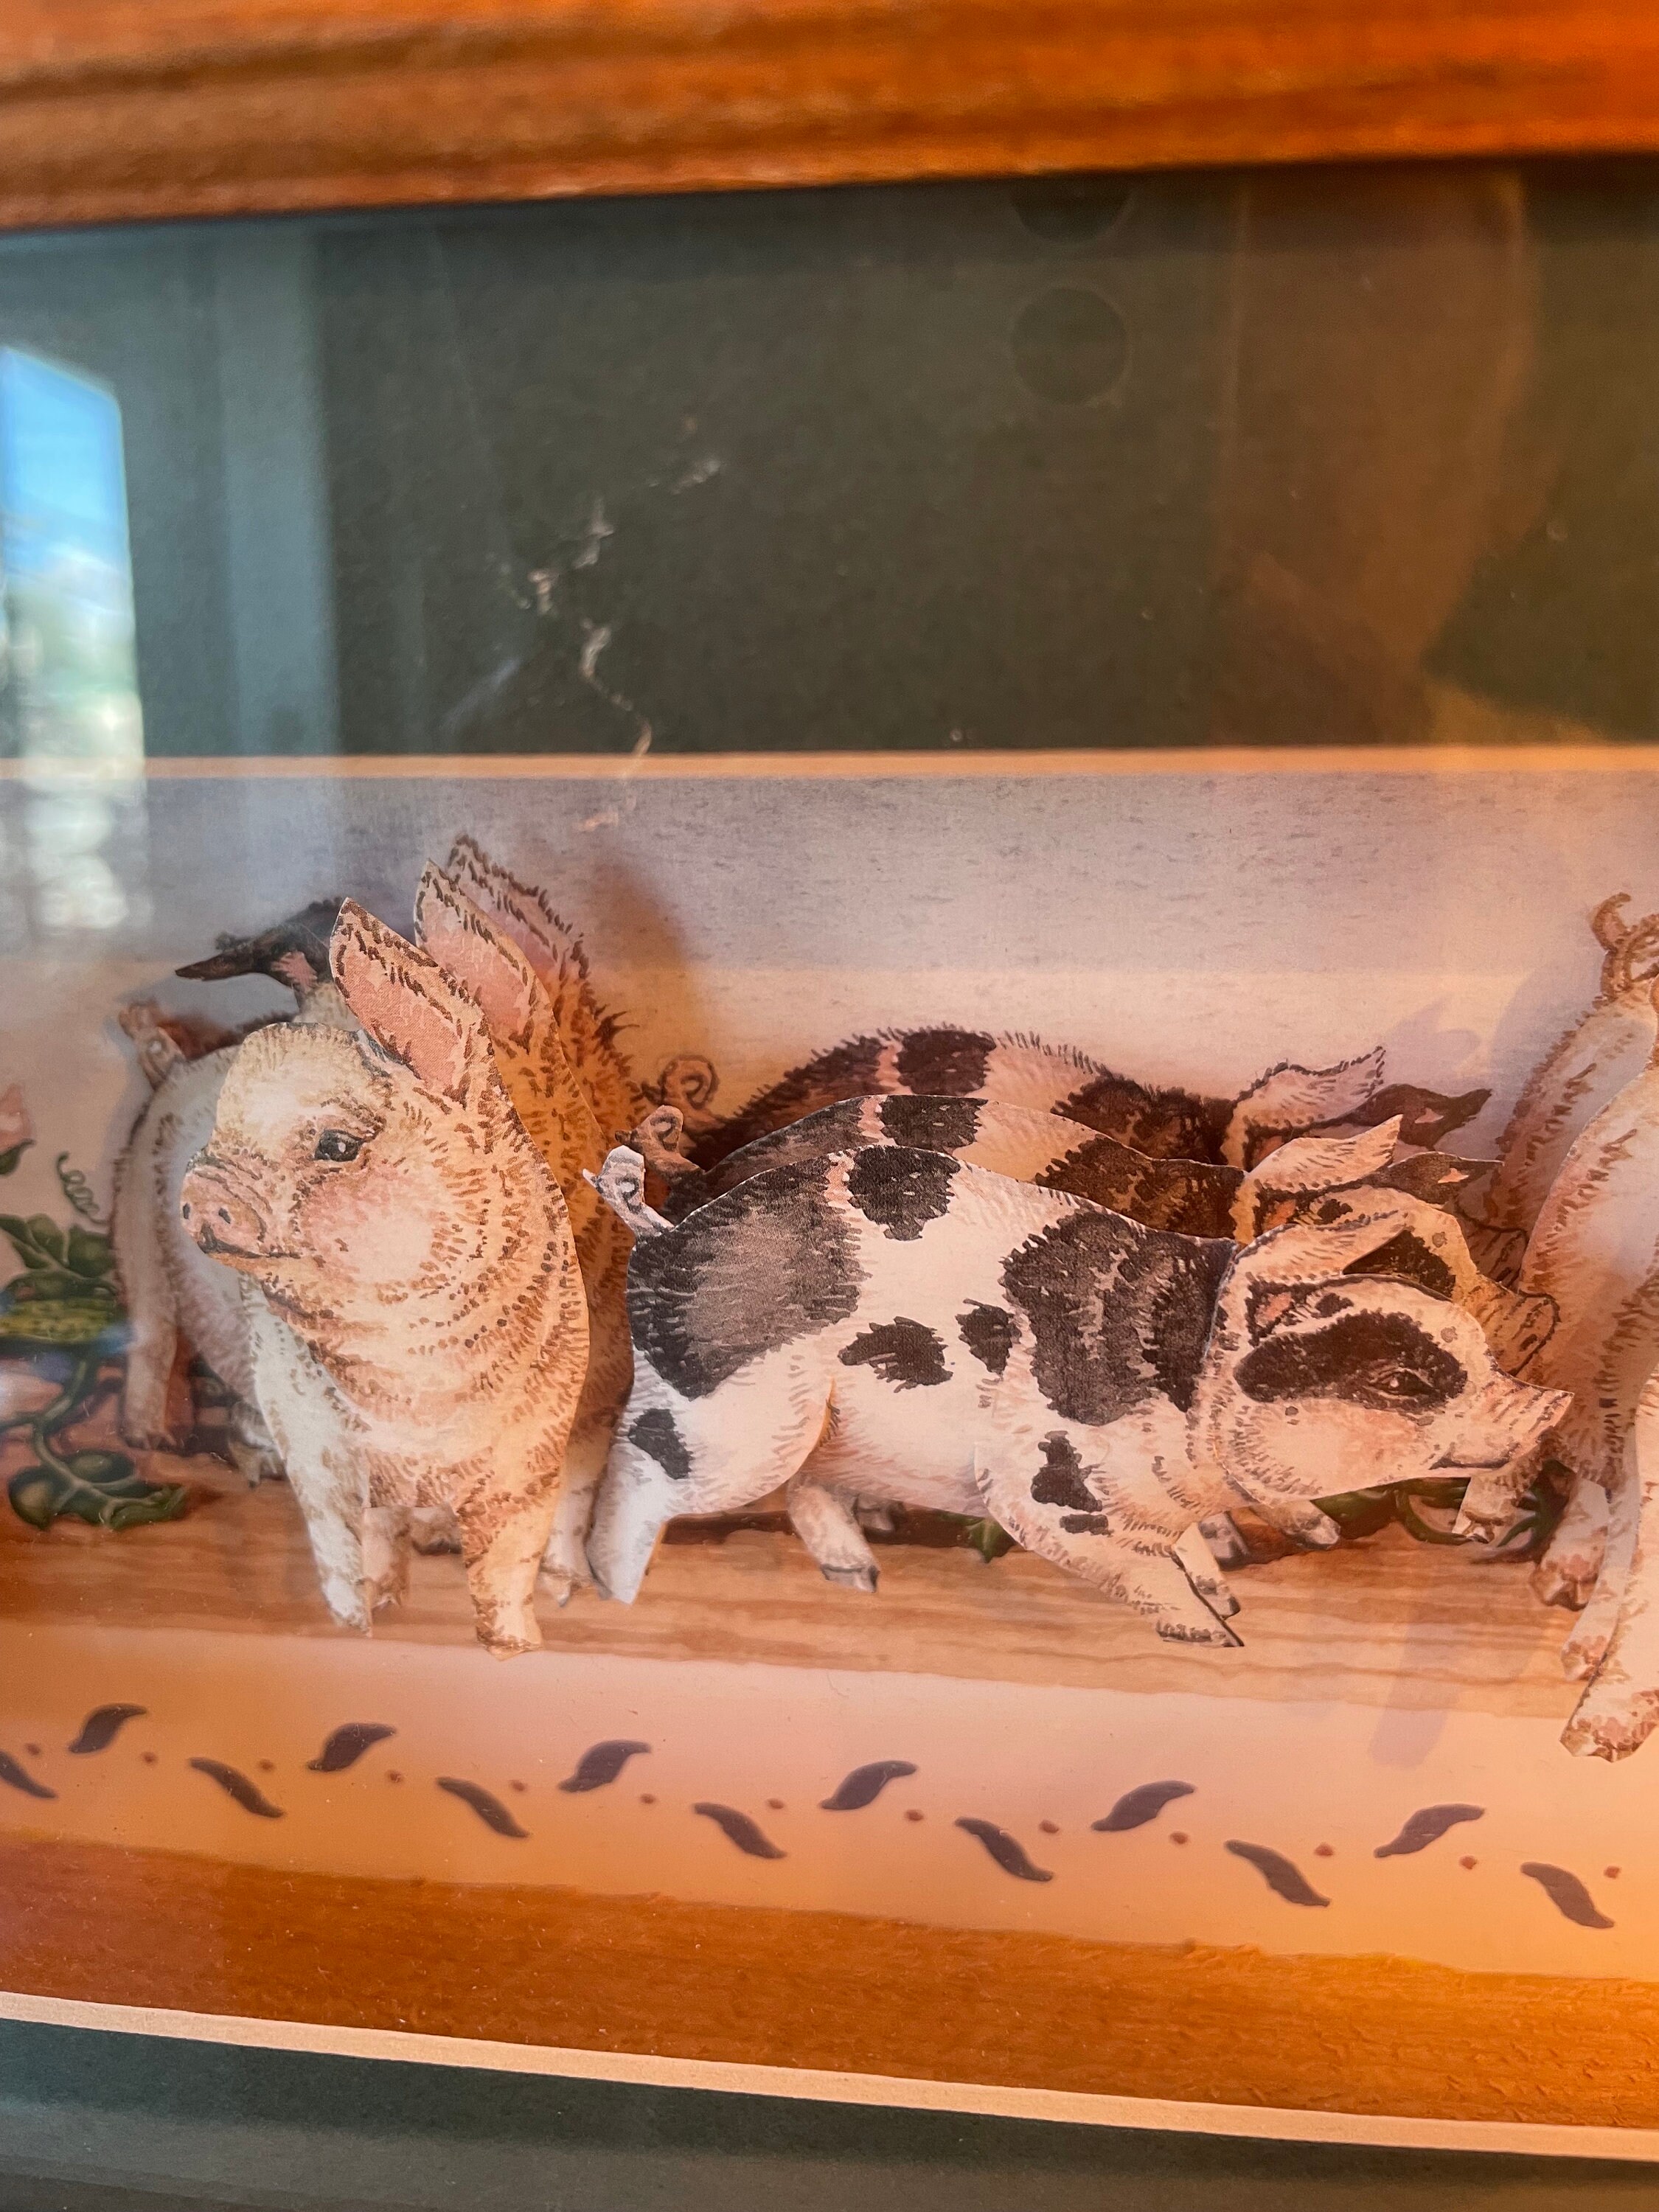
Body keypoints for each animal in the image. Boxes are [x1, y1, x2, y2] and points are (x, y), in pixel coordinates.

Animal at [181, 903, 588, 1653]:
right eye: (224, 1124)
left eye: (338, 1145)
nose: (200, 1189)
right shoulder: (315, 1444)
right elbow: (346, 1546)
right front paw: (362, 1622)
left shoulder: (536, 1444)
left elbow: (508, 1560)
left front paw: (515, 1645)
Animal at [586, 1144, 1565, 1630]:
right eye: (1402, 1379)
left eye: (1480, 1357)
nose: (1547, 1403)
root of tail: (667, 1236)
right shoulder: (1041, 1491)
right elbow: (1136, 1567)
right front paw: (1216, 1635)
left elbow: (1182, 1550)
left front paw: (1229, 1598)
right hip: (727, 1431)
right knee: (631, 1479)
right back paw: (616, 1601)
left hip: (825, 1434)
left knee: (810, 1491)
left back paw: (861, 1584)